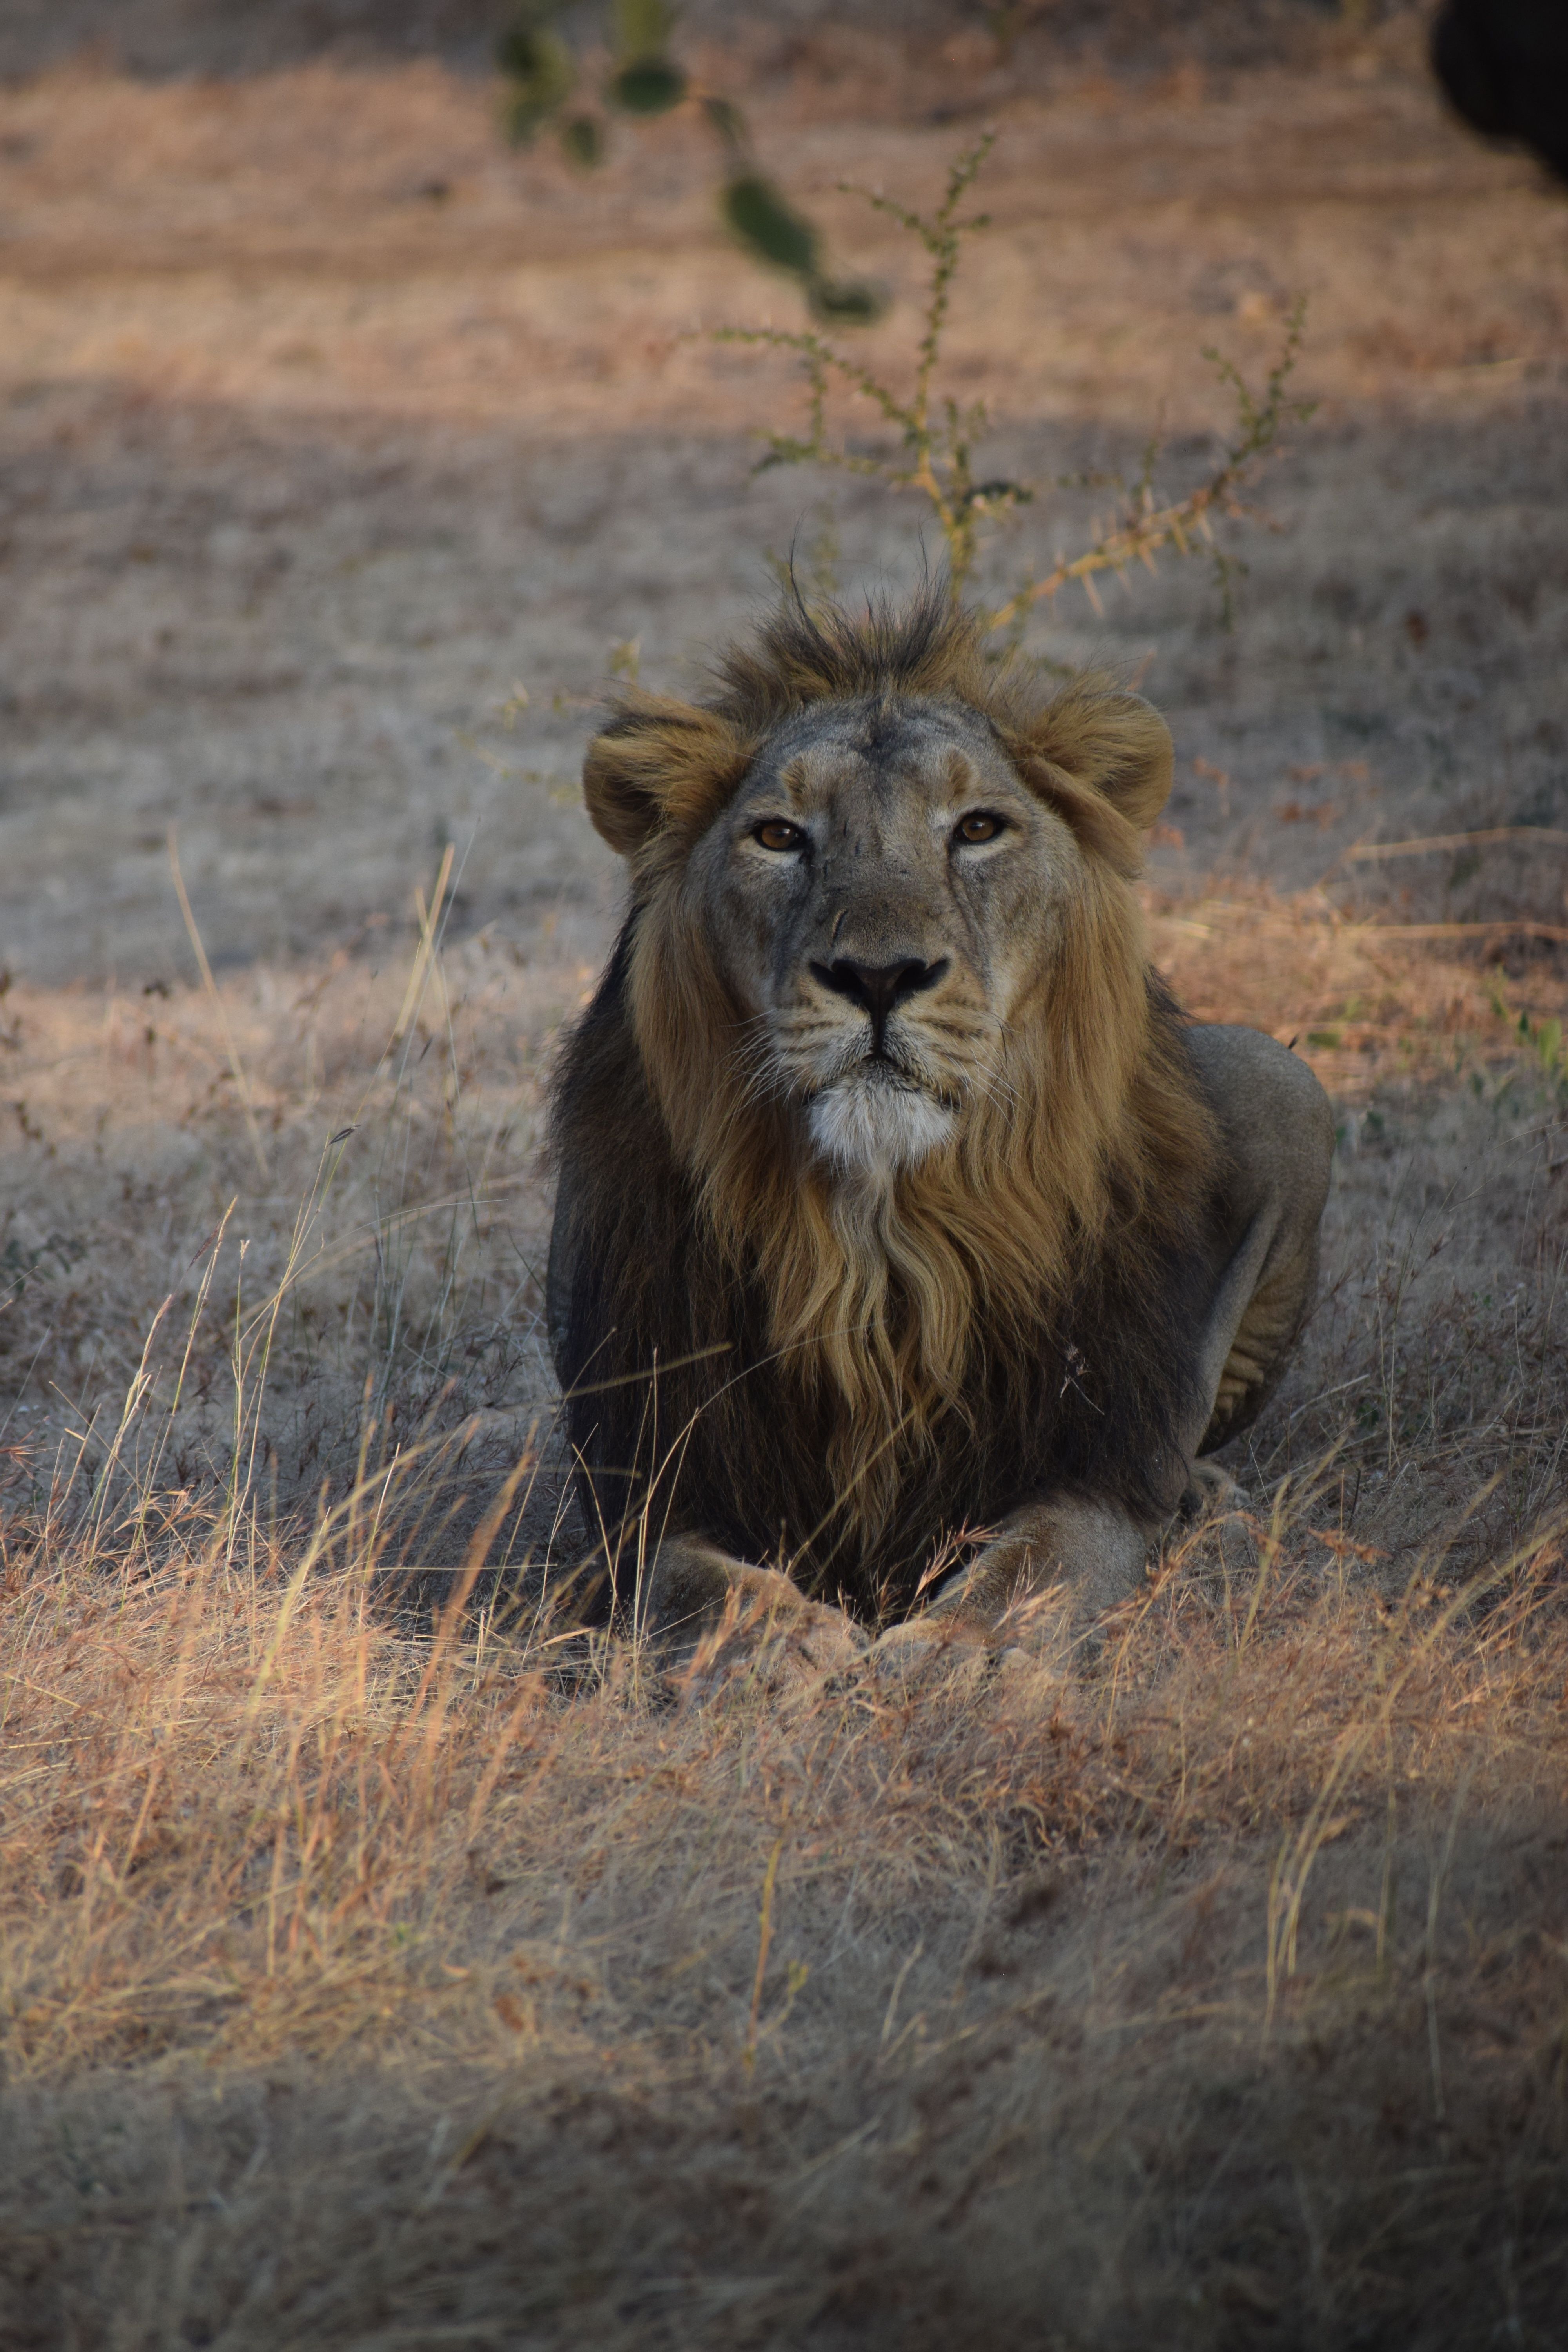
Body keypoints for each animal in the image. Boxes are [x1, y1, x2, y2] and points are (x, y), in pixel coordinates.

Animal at [546, 589, 1333, 1665]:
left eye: (979, 828)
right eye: (779, 836)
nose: (878, 977)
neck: (884, 1245)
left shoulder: (1093, 1462)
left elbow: (1036, 1564)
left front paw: (966, 1650)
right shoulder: (651, 1481)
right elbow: (696, 1587)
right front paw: (777, 1650)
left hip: (1281, 1077)